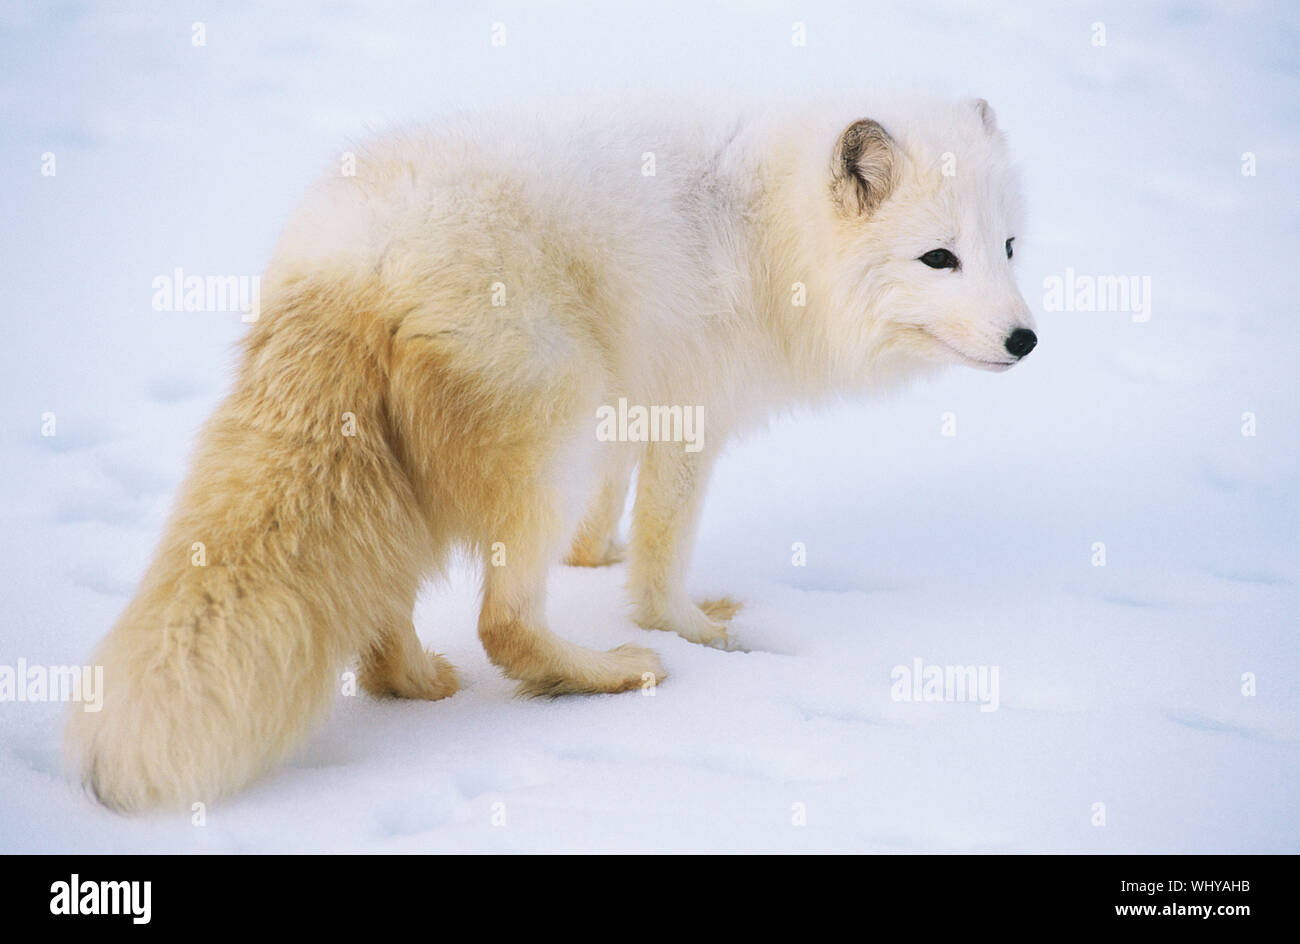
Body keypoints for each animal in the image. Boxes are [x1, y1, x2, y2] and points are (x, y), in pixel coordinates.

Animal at [66, 96, 1037, 811]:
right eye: (938, 258)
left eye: (1009, 247)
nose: (1025, 340)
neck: (766, 231)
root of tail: (351, 261)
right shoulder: (687, 414)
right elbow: (661, 559)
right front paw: (691, 629)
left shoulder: (628, 396)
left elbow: (610, 512)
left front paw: (593, 557)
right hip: (549, 428)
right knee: (503, 623)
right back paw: (612, 672)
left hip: (434, 464)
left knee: (385, 623)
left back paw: (418, 683)